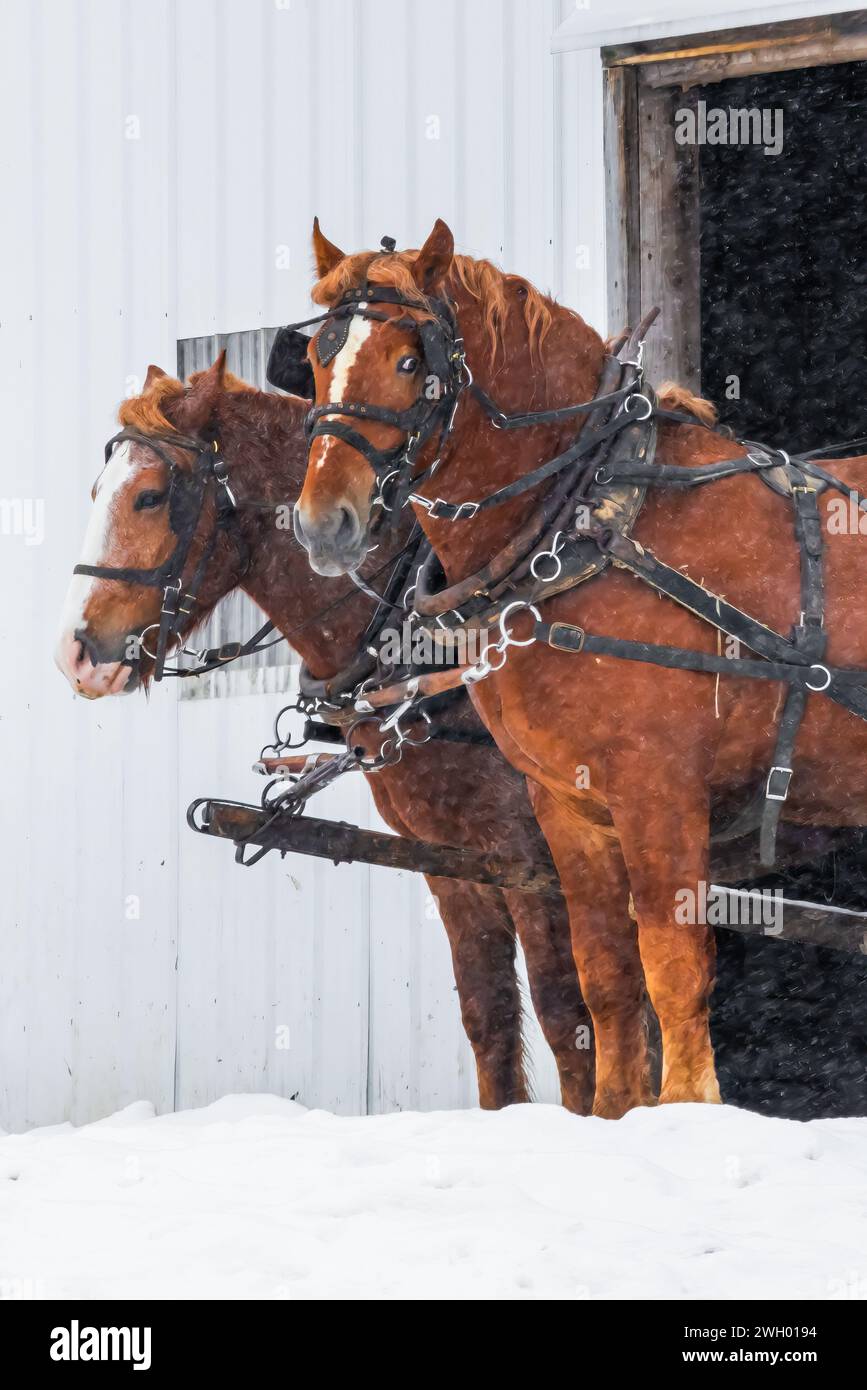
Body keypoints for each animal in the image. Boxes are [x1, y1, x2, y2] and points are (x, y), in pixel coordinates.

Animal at [54, 354, 594, 1112]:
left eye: (151, 497)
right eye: (100, 490)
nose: (73, 655)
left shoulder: (536, 853)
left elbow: (568, 1016)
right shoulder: (453, 861)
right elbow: (489, 1018)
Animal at [292, 218, 867, 1118]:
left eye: (411, 361)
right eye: (317, 355)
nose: (324, 523)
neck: (584, 529)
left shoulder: (658, 794)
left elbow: (671, 971)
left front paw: (686, 1114)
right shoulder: (568, 808)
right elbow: (605, 983)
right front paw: (615, 1116)